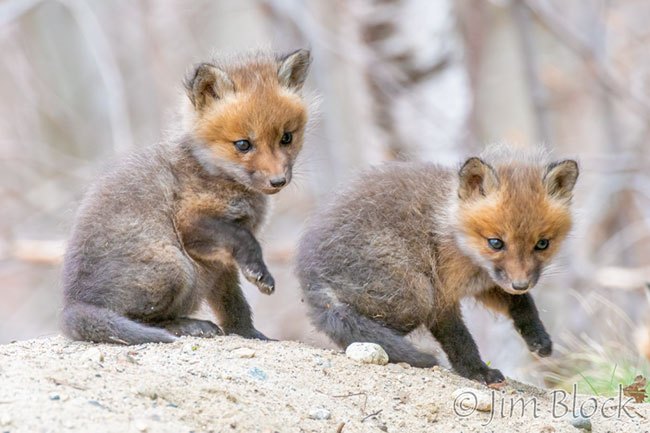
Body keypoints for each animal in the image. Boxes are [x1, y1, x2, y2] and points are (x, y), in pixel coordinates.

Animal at [61, 49, 312, 344]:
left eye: (286, 138)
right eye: (243, 144)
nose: (278, 181)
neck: (212, 172)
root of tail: (72, 305)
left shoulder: (221, 262)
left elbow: (234, 305)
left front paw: (252, 335)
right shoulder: (191, 223)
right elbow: (245, 240)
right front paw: (260, 274)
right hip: (176, 267)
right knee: (144, 320)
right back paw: (187, 326)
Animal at [296, 146, 579, 384]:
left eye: (542, 244)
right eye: (496, 242)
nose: (520, 284)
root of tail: (310, 276)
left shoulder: (487, 282)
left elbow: (522, 304)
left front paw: (539, 338)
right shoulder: (442, 295)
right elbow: (459, 339)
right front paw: (477, 372)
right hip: (416, 295)